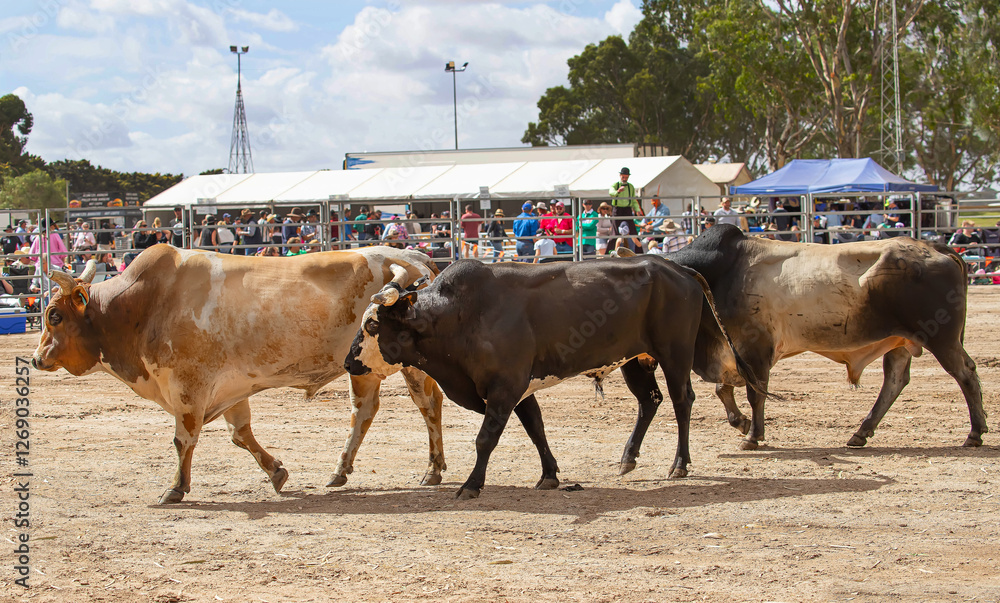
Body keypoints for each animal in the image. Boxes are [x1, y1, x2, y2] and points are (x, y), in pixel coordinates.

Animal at [31, 244, 447, 504]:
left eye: (54, 315)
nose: (36, 359)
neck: (145, 304)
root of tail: (411, 256)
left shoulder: (188, 384)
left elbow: (183, 439)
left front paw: (176, 488)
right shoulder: (231, 386)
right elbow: (240, 434)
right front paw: (276, 472)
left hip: (404, 364)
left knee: (426, 404)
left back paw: (432, 469)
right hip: (364, 368)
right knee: (367, 412)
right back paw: (343, 471)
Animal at [344, 257, 765, 499]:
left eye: (372, 325)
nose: (348, 362)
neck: (460, 314)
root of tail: (677, 268)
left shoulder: (505, 387)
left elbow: (486, 439)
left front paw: (471, 485)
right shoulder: (519, 387)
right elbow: (536, 427)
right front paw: (549, 475)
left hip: (674, 353)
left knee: (681, 400)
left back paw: (679, 463)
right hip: (635, 359)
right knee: (650, 401)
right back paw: (628, 458)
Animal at [615, 224, 986, 471]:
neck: (718, 272)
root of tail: (938, 248)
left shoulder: (753, 348)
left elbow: (755, 393)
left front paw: (752, 435)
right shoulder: (730, 352)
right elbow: (724, 389)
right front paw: (742, 423)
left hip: (941, 338)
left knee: (965, 373)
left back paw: (975, 432)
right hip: (899, 341)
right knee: (895, 381)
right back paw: (861, 433)